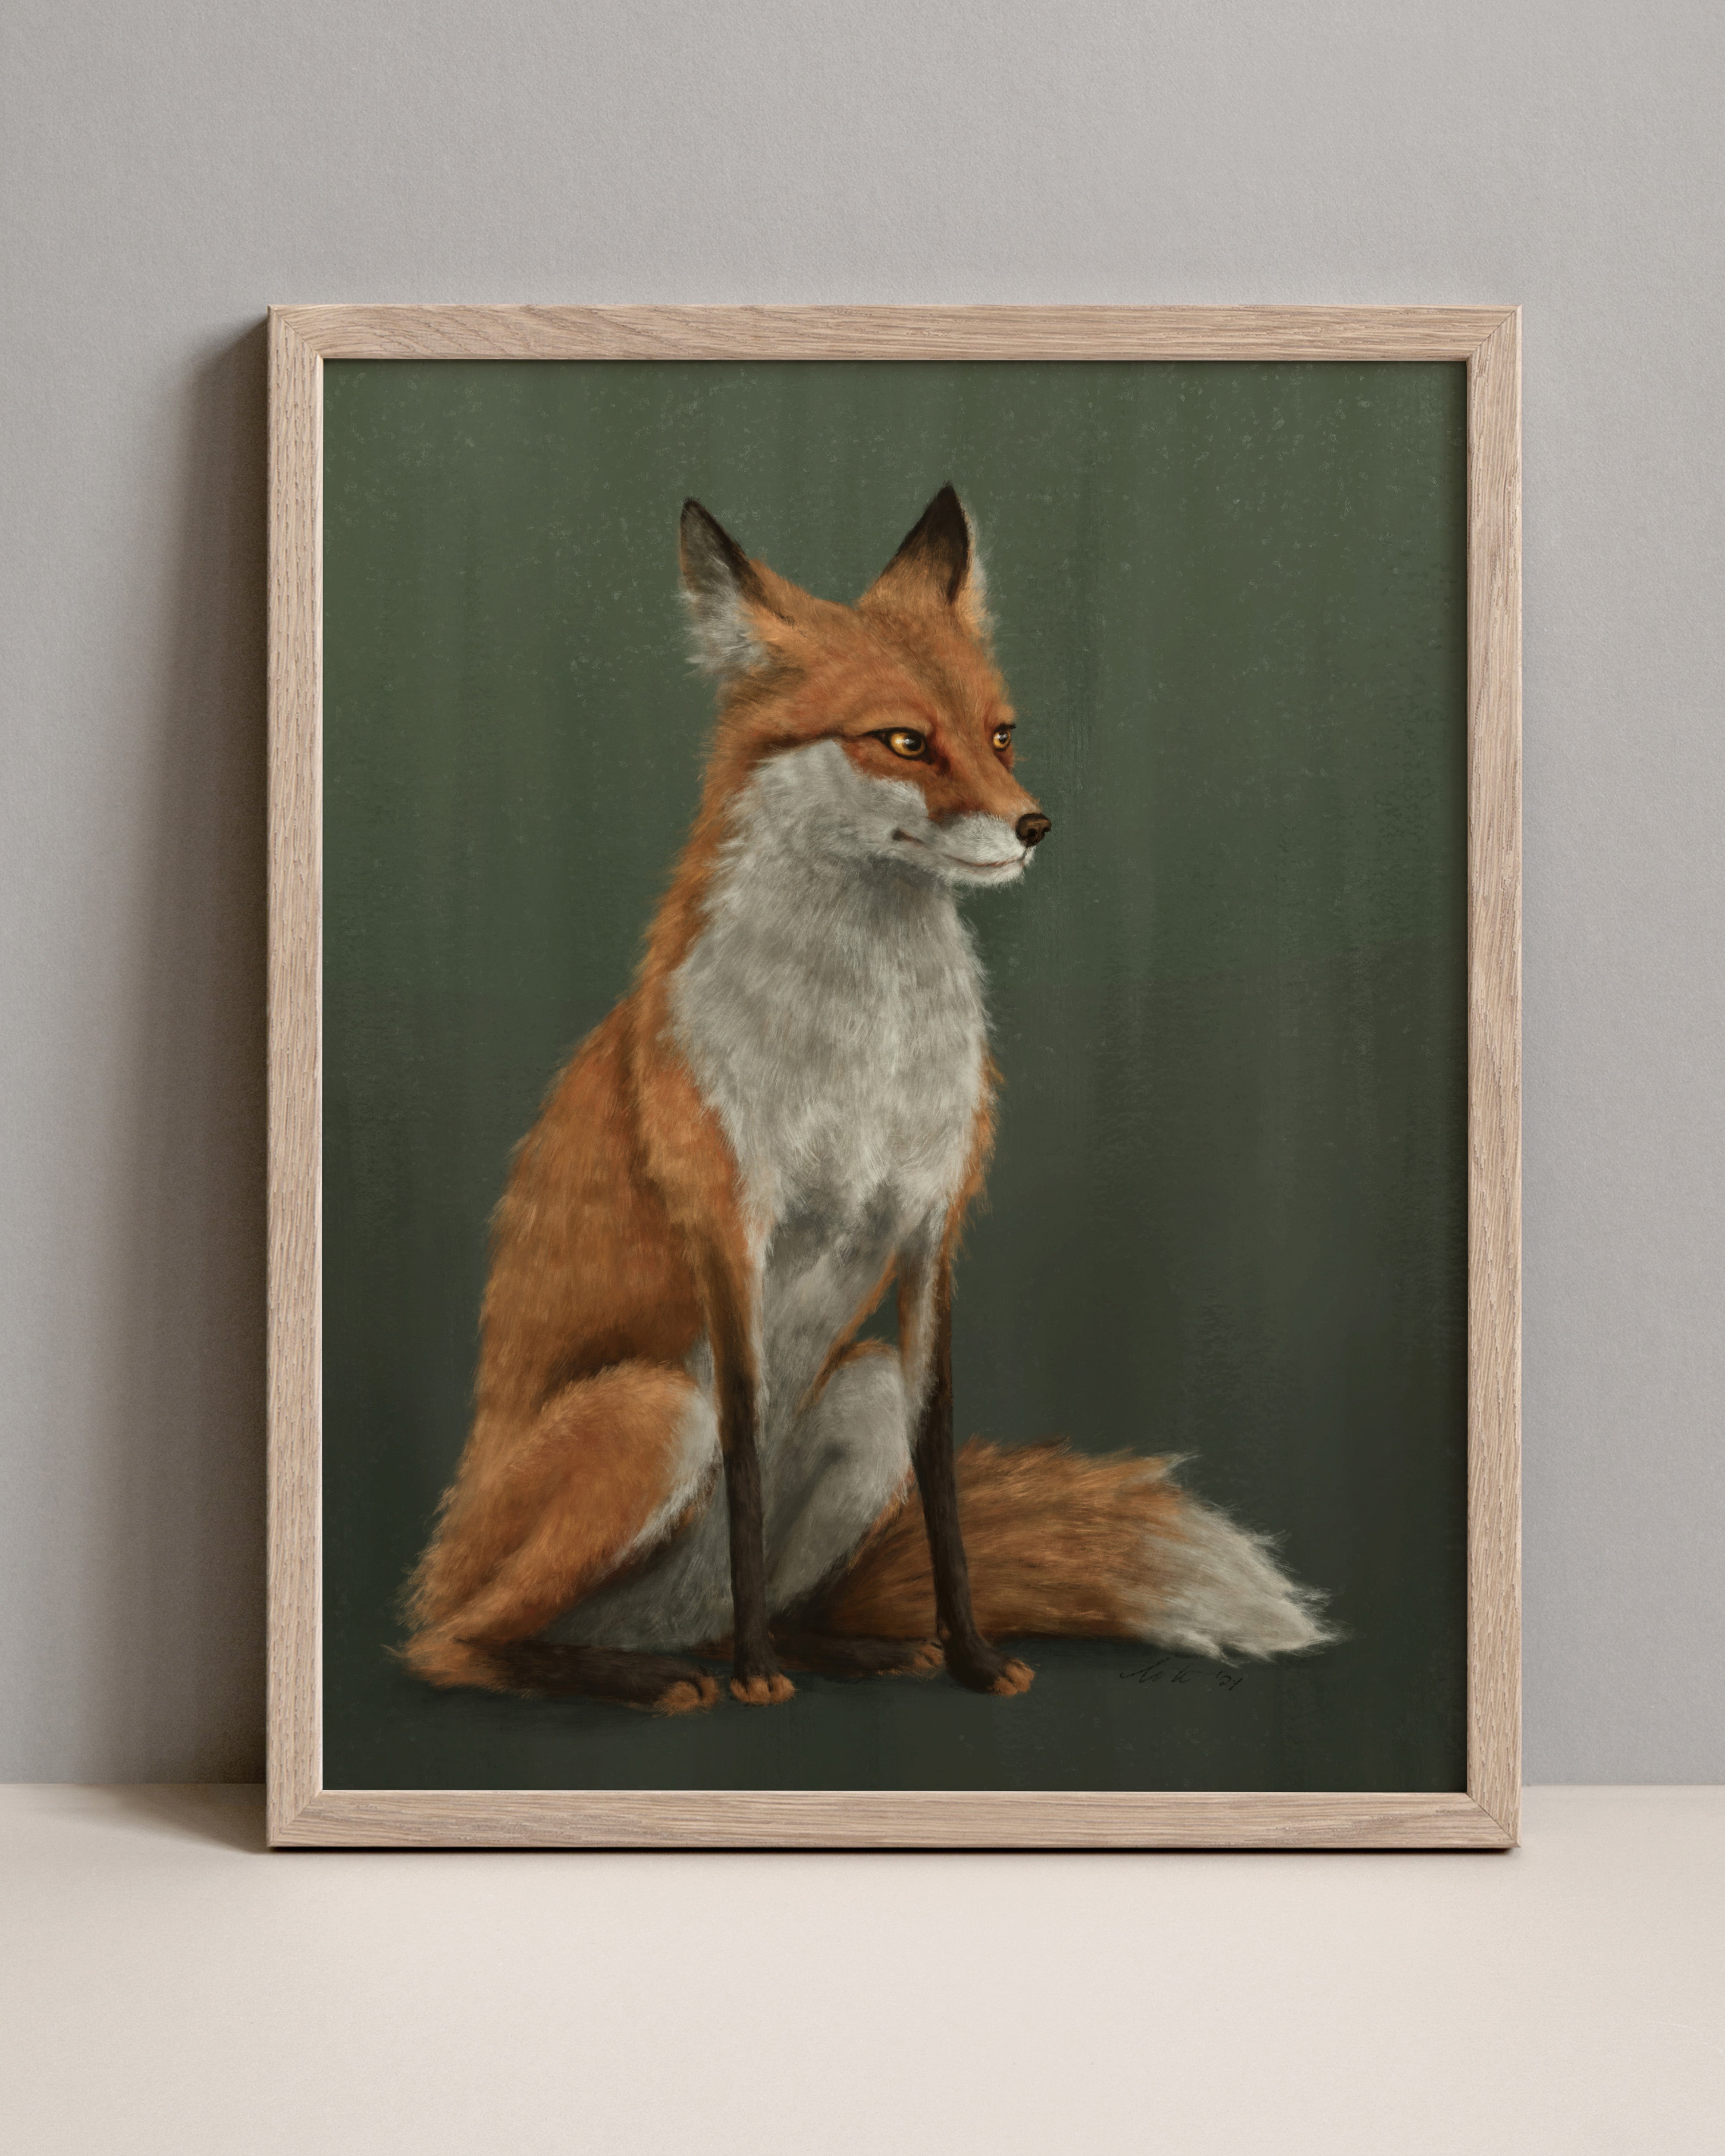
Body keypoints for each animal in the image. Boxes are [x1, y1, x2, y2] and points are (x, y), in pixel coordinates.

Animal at [401, 485, 1330, 1713]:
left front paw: (971, 1657)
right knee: (456, 1644)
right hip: (650, 1413)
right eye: (902, 740)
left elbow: (940, 1477)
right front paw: (757, 1680)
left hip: (859, 1391)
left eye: (1000, 734)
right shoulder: (729, 1232)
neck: (862, 1054)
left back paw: (835, 1648)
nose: (1034, 826)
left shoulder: (932, 1231)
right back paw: (656, 1674)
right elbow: (746, 1463)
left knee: (765, 1594)